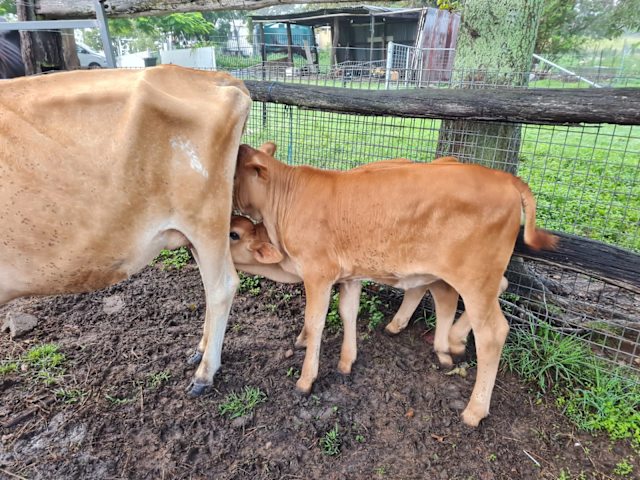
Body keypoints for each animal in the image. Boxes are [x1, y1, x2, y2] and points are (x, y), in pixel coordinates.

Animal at [0, 65, 252, 396]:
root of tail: (215, 77)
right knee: (210, 287)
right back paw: (199, 351)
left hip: (206, 221)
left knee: (222, 286)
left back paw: (204, 373)